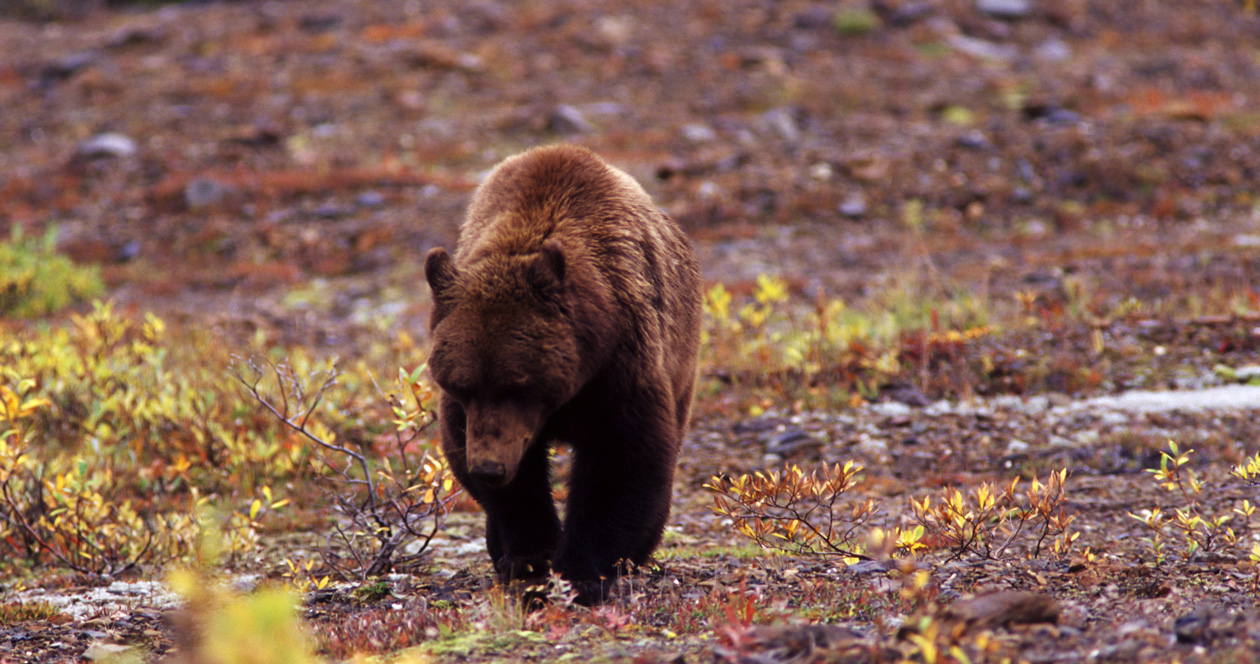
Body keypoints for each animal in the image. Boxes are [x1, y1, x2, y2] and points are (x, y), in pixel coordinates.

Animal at [424, 144, 702, 603]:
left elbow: (622, 455)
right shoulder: (471, 414)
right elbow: (499, 474)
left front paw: (583, 570)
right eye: (463, 384)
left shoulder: (618, 368)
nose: (489, 467)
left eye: (516, 385)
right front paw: (529, 557)